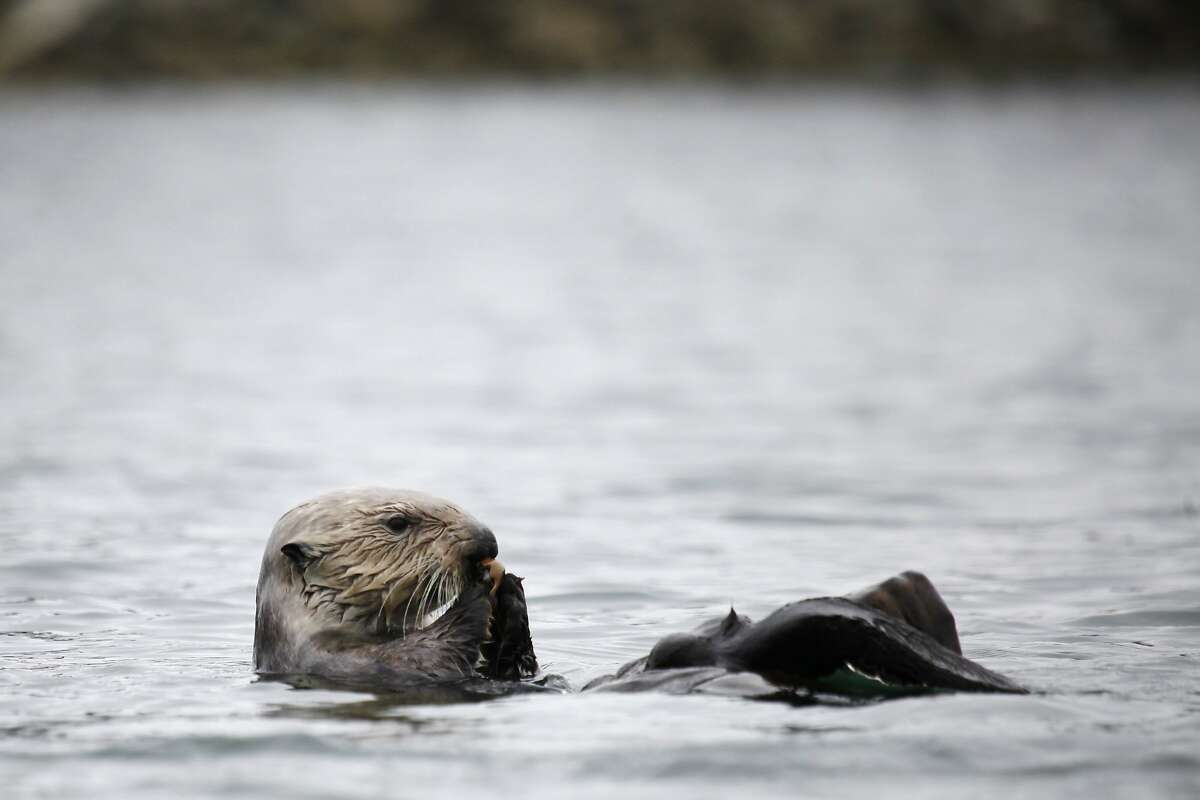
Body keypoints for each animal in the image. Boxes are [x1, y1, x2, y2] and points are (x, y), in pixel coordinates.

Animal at [255, 488, 1023, 697]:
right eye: (399, 522)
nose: (485, 541)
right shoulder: (363, 665)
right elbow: (439, 655)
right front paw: (481, 594)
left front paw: (513, 593)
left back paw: (907, 596)